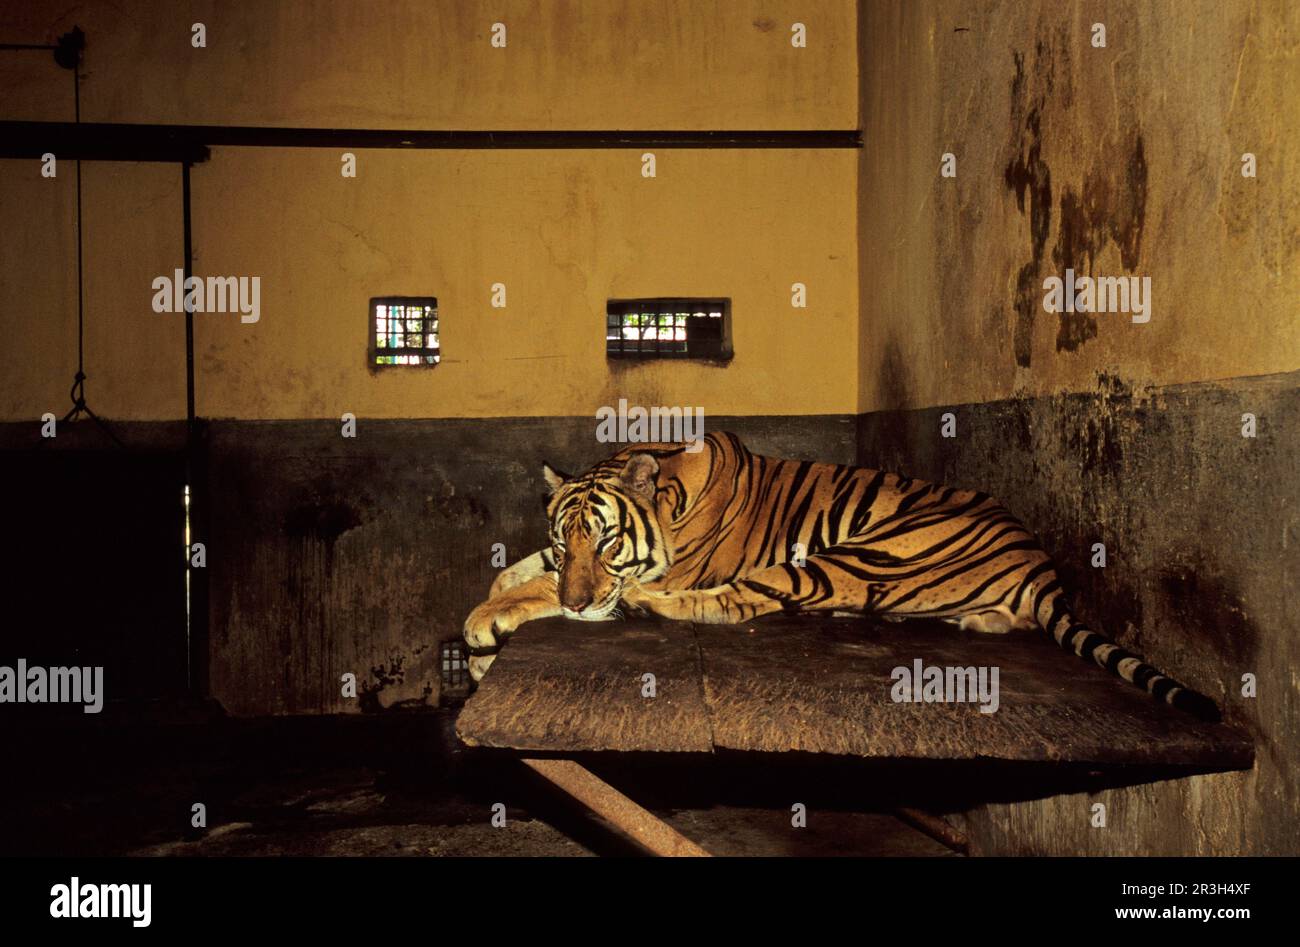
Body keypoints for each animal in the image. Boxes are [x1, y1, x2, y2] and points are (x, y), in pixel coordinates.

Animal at [462, 431, 1220, 720]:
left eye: (610, 541)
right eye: (564, 541)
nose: (581, 603)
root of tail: (1037, 563)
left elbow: (535, 591)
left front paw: (482, 627)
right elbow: (522, 571)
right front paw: (492, 617)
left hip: (856, 552)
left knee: (742, 602)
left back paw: (654, 602)